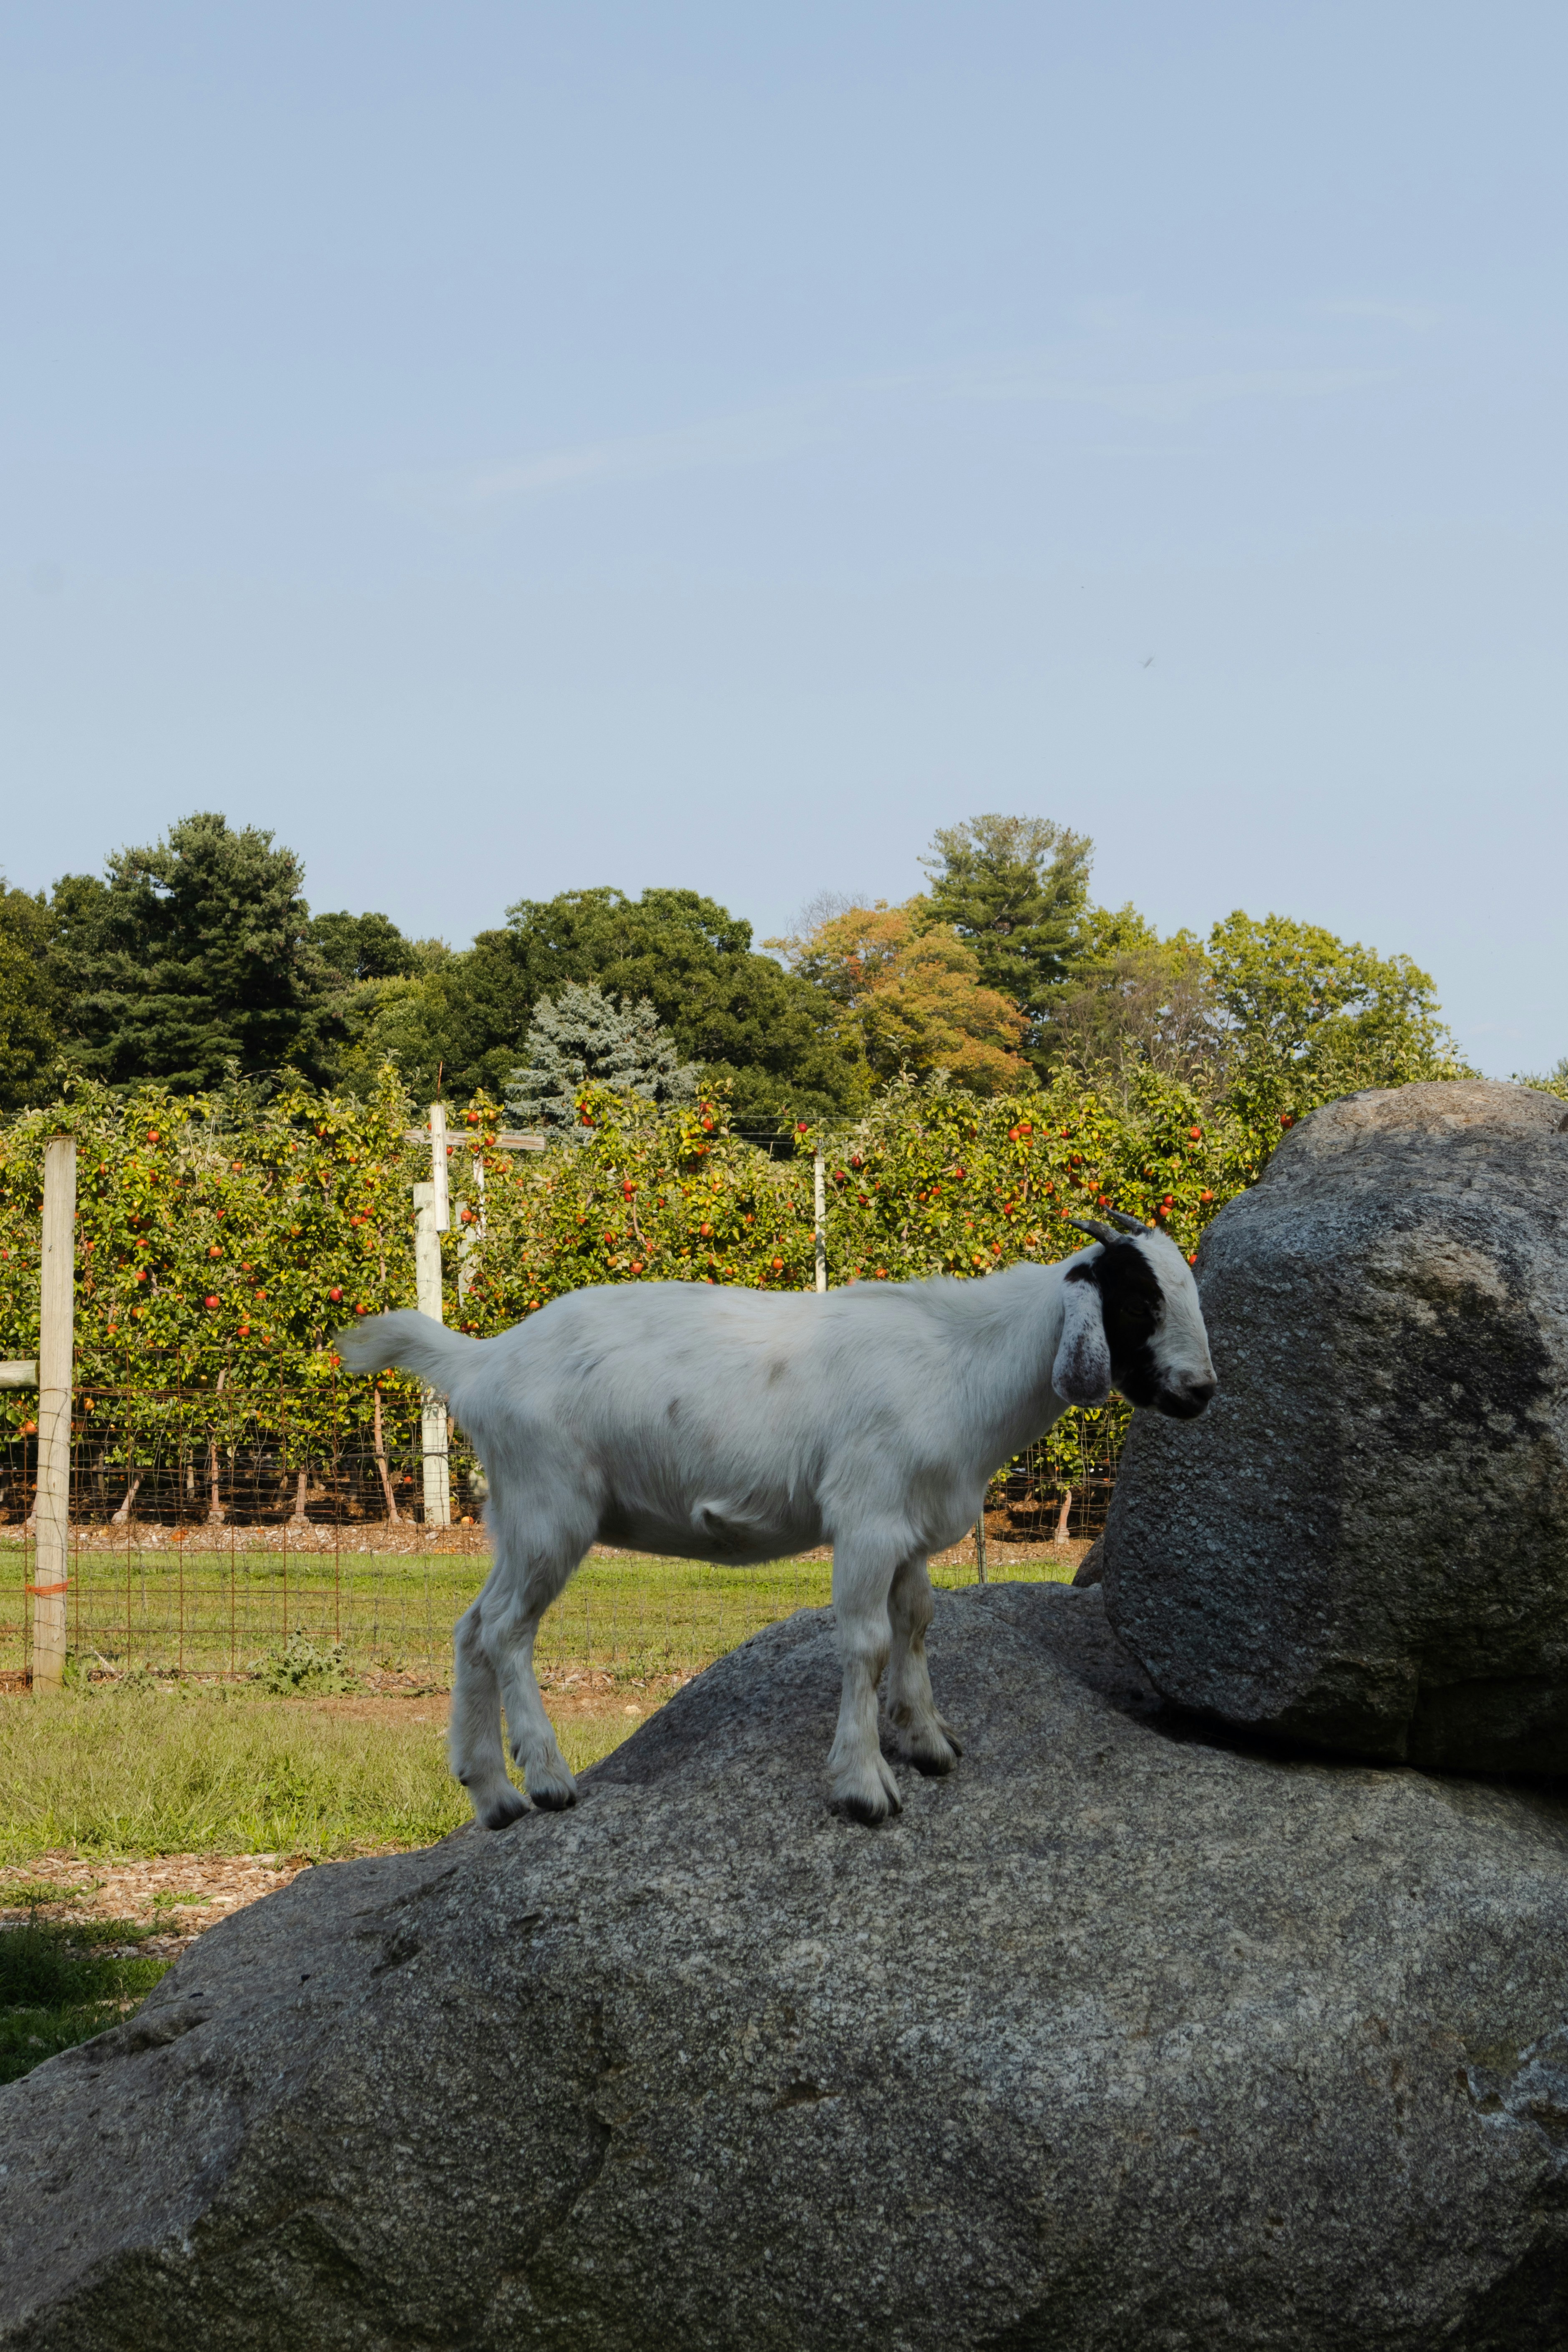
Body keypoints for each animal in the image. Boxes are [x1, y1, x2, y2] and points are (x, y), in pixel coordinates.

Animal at [337, 1214, 1216, 1828]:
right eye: (1138, 1298)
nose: (1201, 1390)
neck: (961, 1361)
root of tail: (480, 1360)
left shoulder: (909, 1526)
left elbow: (916, 1624)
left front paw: (927, 1741)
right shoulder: (865, 1516)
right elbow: (866, 1642)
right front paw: (863, 1786)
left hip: (517, 1514)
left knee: (469, 1625)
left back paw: (491, 1793)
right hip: (550, 1504)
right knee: (506, 1630)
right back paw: (549, 1779)